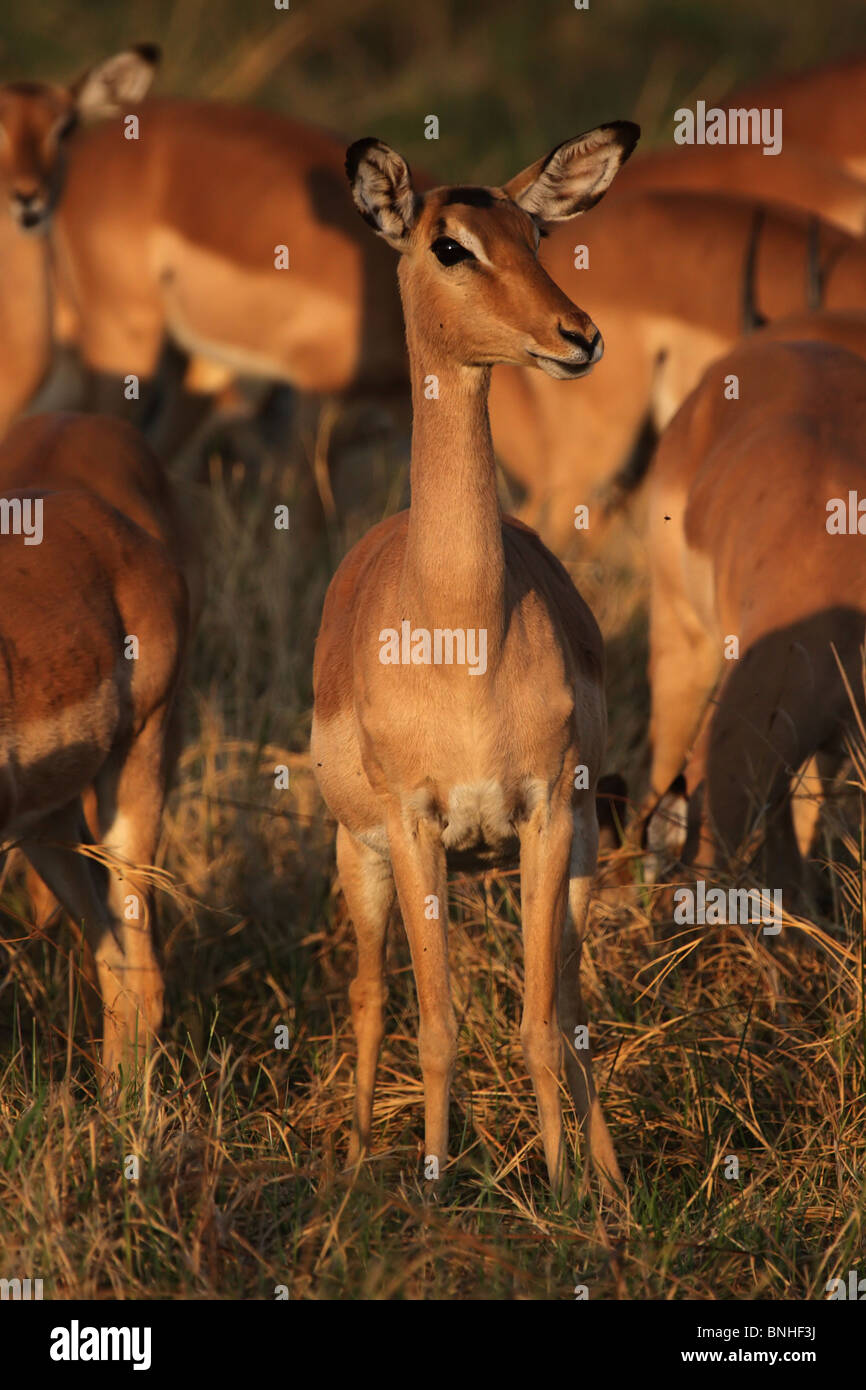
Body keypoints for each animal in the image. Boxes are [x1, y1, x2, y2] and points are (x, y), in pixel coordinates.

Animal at [311, 122, 640, 1194]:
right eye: (448, 245)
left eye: (536, 232)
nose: (579, 335)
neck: (461, 631)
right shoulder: (414, 828)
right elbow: (439, 1028)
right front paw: (431, 1184)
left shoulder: (544, 813)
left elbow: (540, 1025)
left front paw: (569, 1191)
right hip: (360, 856)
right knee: (371, 996)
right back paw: (359, 1166)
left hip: (570, 853)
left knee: (568, 1009)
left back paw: (611, 1182)